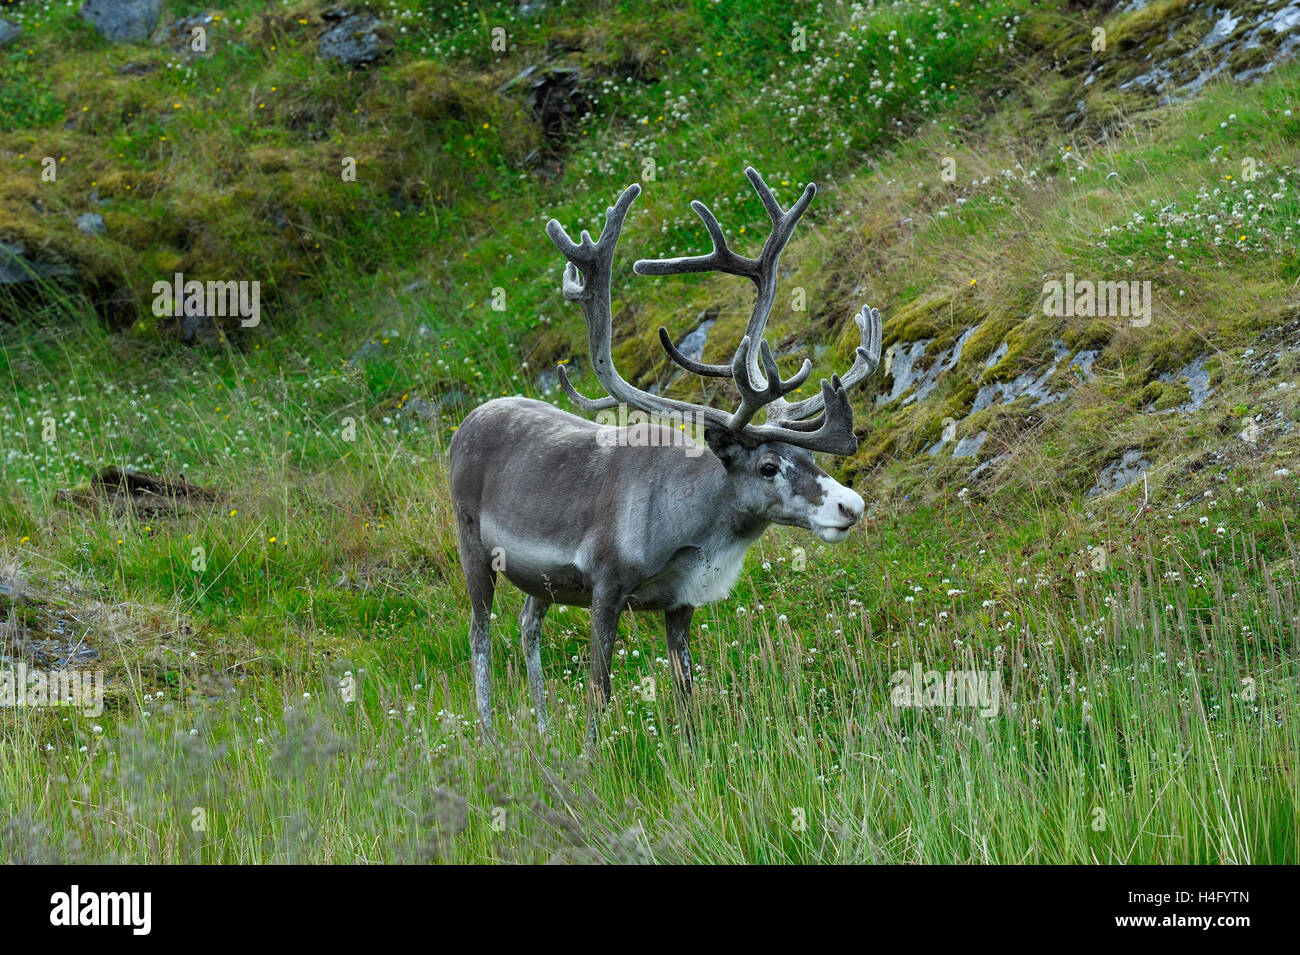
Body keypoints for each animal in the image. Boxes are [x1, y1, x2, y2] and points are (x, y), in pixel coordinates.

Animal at [448, 167, 882, 741]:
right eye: (768, 466)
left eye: (813, 459)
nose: (850, 505)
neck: (690, 531)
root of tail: (466, 423)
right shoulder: (605, 585)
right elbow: (598, 692)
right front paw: (591, 754)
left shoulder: (681, 603)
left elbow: (686, 691)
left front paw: (693, 746)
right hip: (473, 547)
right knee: (479, 636)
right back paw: (491, 736)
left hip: (538, 579)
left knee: (526, 625)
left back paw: (541, 727)